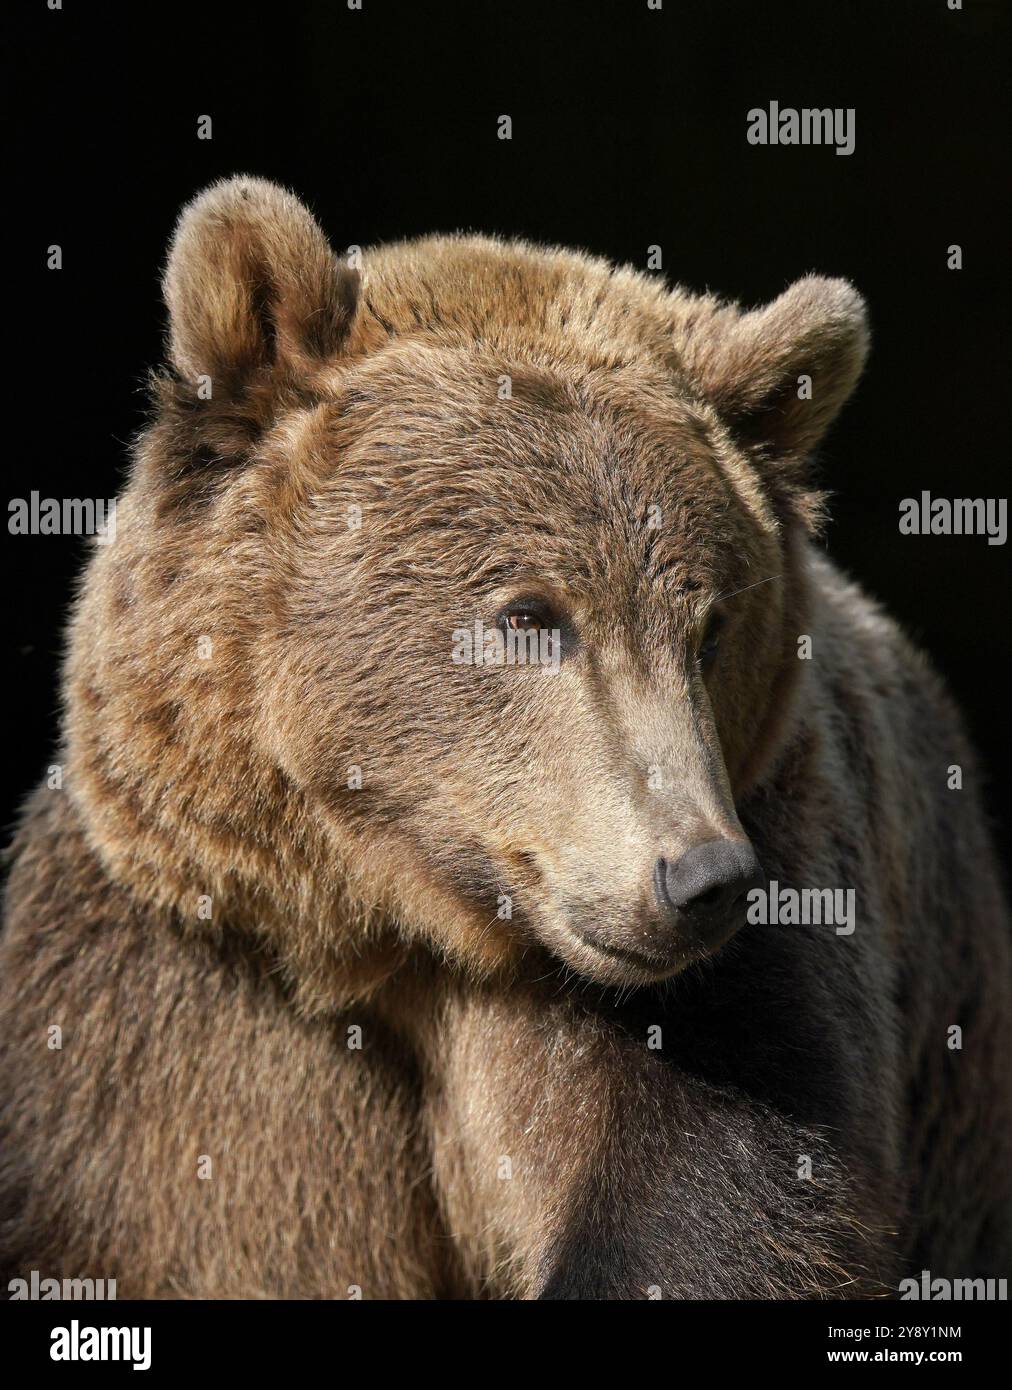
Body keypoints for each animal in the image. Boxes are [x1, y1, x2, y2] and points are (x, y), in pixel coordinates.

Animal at [1, 175, 1009, 1299]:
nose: (700, 876)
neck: (390, 929)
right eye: (529, 615)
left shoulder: (748, 921)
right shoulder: (172, 994)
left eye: (709, 630)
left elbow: (717, 1195)